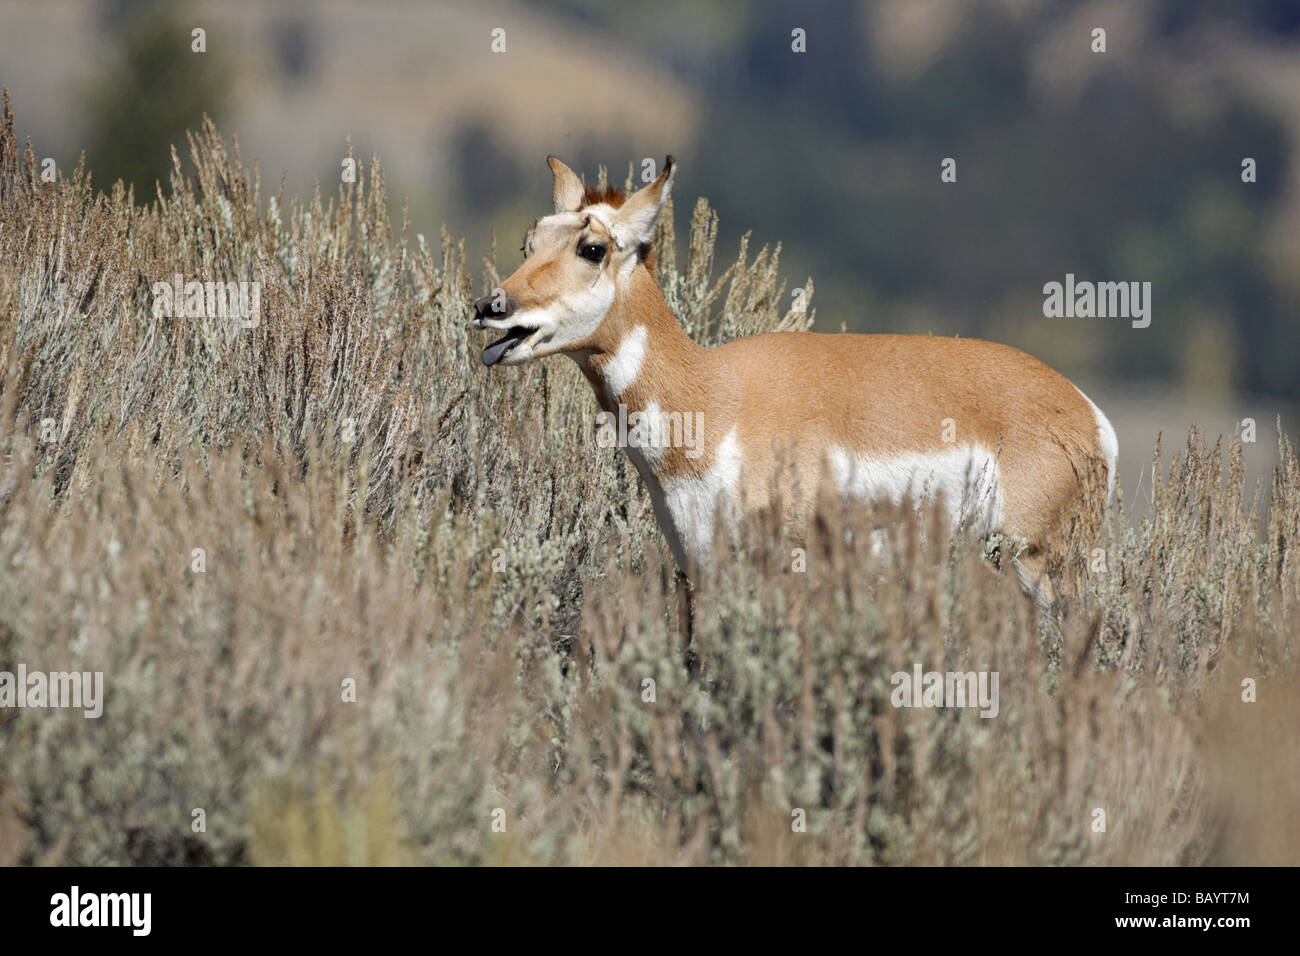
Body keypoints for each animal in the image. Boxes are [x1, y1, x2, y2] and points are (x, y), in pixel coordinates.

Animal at [472, 156, 1118, 611]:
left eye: (592, 247)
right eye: (530, 241)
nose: (489, 307)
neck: (714, 396)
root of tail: (1084, 411)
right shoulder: (699, 569)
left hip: (1041, 566)